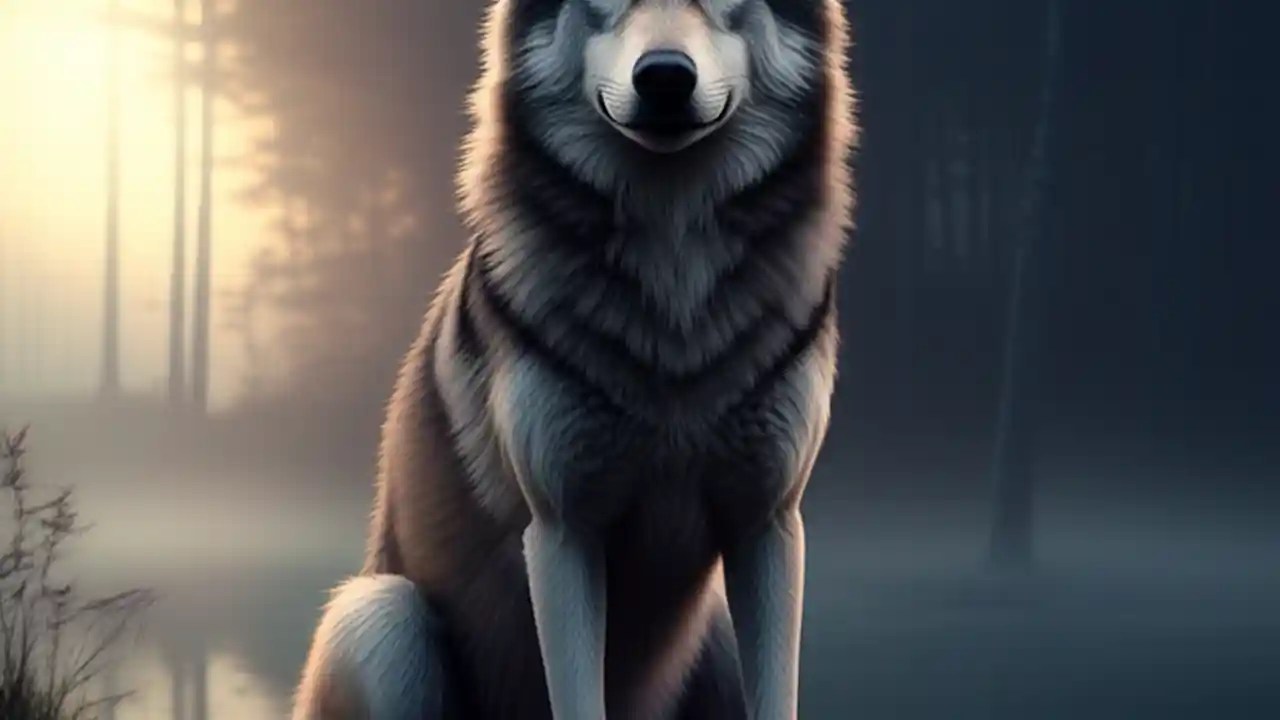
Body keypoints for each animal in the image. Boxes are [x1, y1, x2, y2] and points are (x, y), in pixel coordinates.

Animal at [292, 0, 855, 718]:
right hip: (383, 619)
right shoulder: (562, 533)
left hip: (717, 633)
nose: (665, 77)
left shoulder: (769, 525)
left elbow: (778, 696)